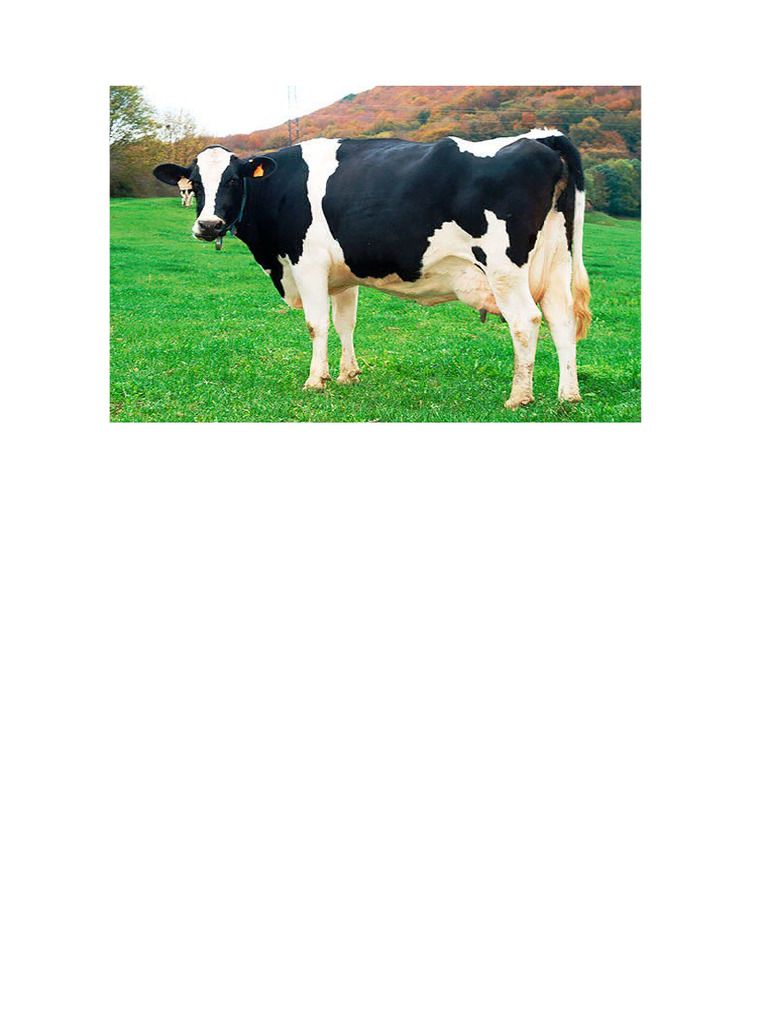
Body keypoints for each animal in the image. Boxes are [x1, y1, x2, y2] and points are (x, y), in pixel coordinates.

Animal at [153, 130, 591, 409]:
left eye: (232, 180)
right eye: (194, 183)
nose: (209, 226)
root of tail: (542, 139)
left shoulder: (307, 263)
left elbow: (316, 324)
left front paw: (316, 380)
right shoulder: (343, 275)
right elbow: (345, 322)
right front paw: (348, 374)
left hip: (504, 266)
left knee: (526, 321)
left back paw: (519, 397)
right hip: (556, 262)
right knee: (562, 320)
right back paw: (568, 395)